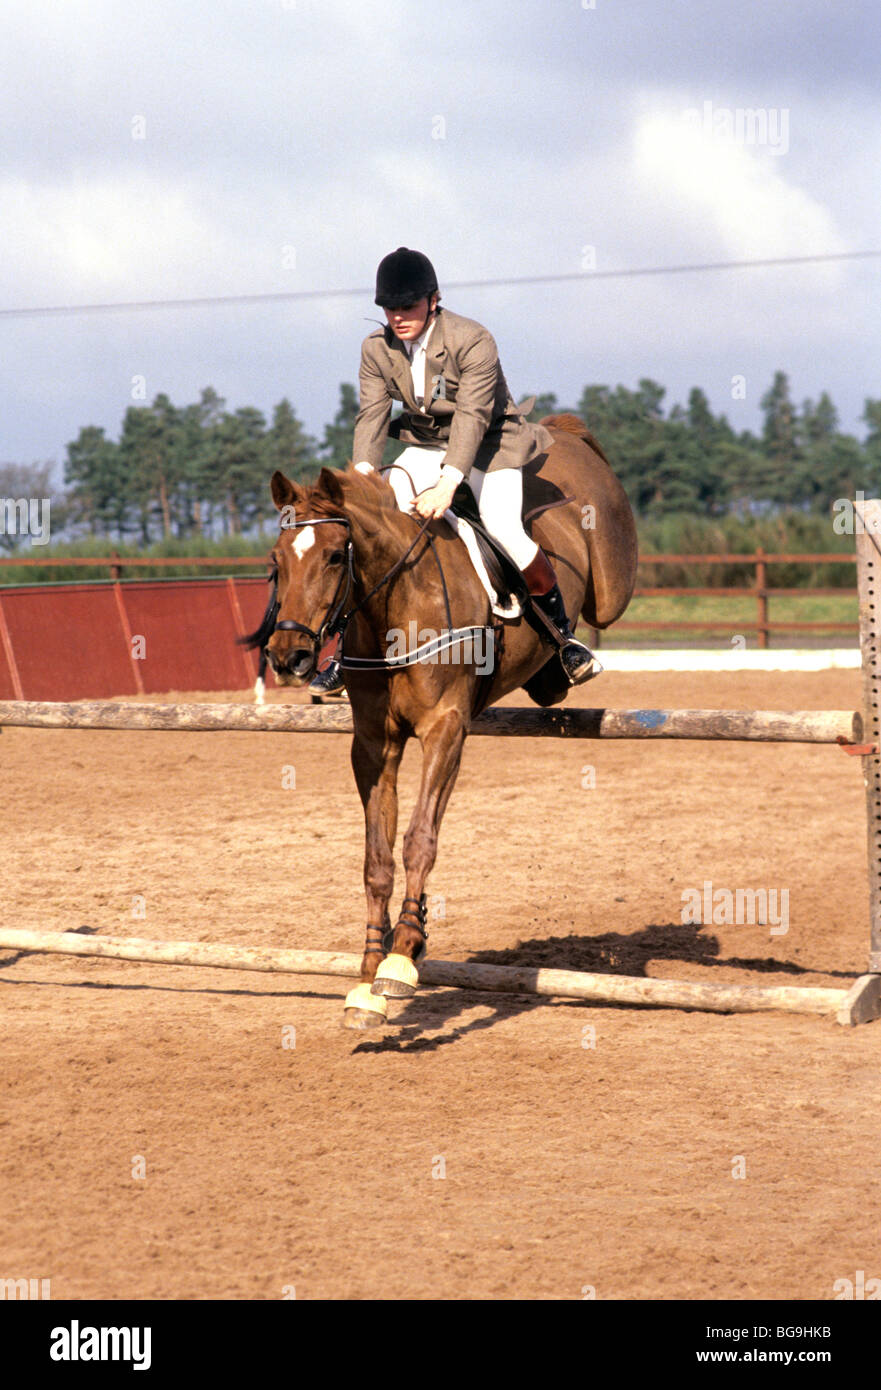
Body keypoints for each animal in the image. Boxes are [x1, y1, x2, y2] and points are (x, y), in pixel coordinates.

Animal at [249, 415, 637, 1029]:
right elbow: (377, 855)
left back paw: (575, 652)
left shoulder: (445, 729)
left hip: (610, 576)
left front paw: (401, 959)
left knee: (599, 603)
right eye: (276, 560)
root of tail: (562, 432)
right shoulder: (375, 744)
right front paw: (369, 972)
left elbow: (419, 840)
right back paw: (554, 671)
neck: (395, 608)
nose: (290, 657)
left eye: (335, 556)